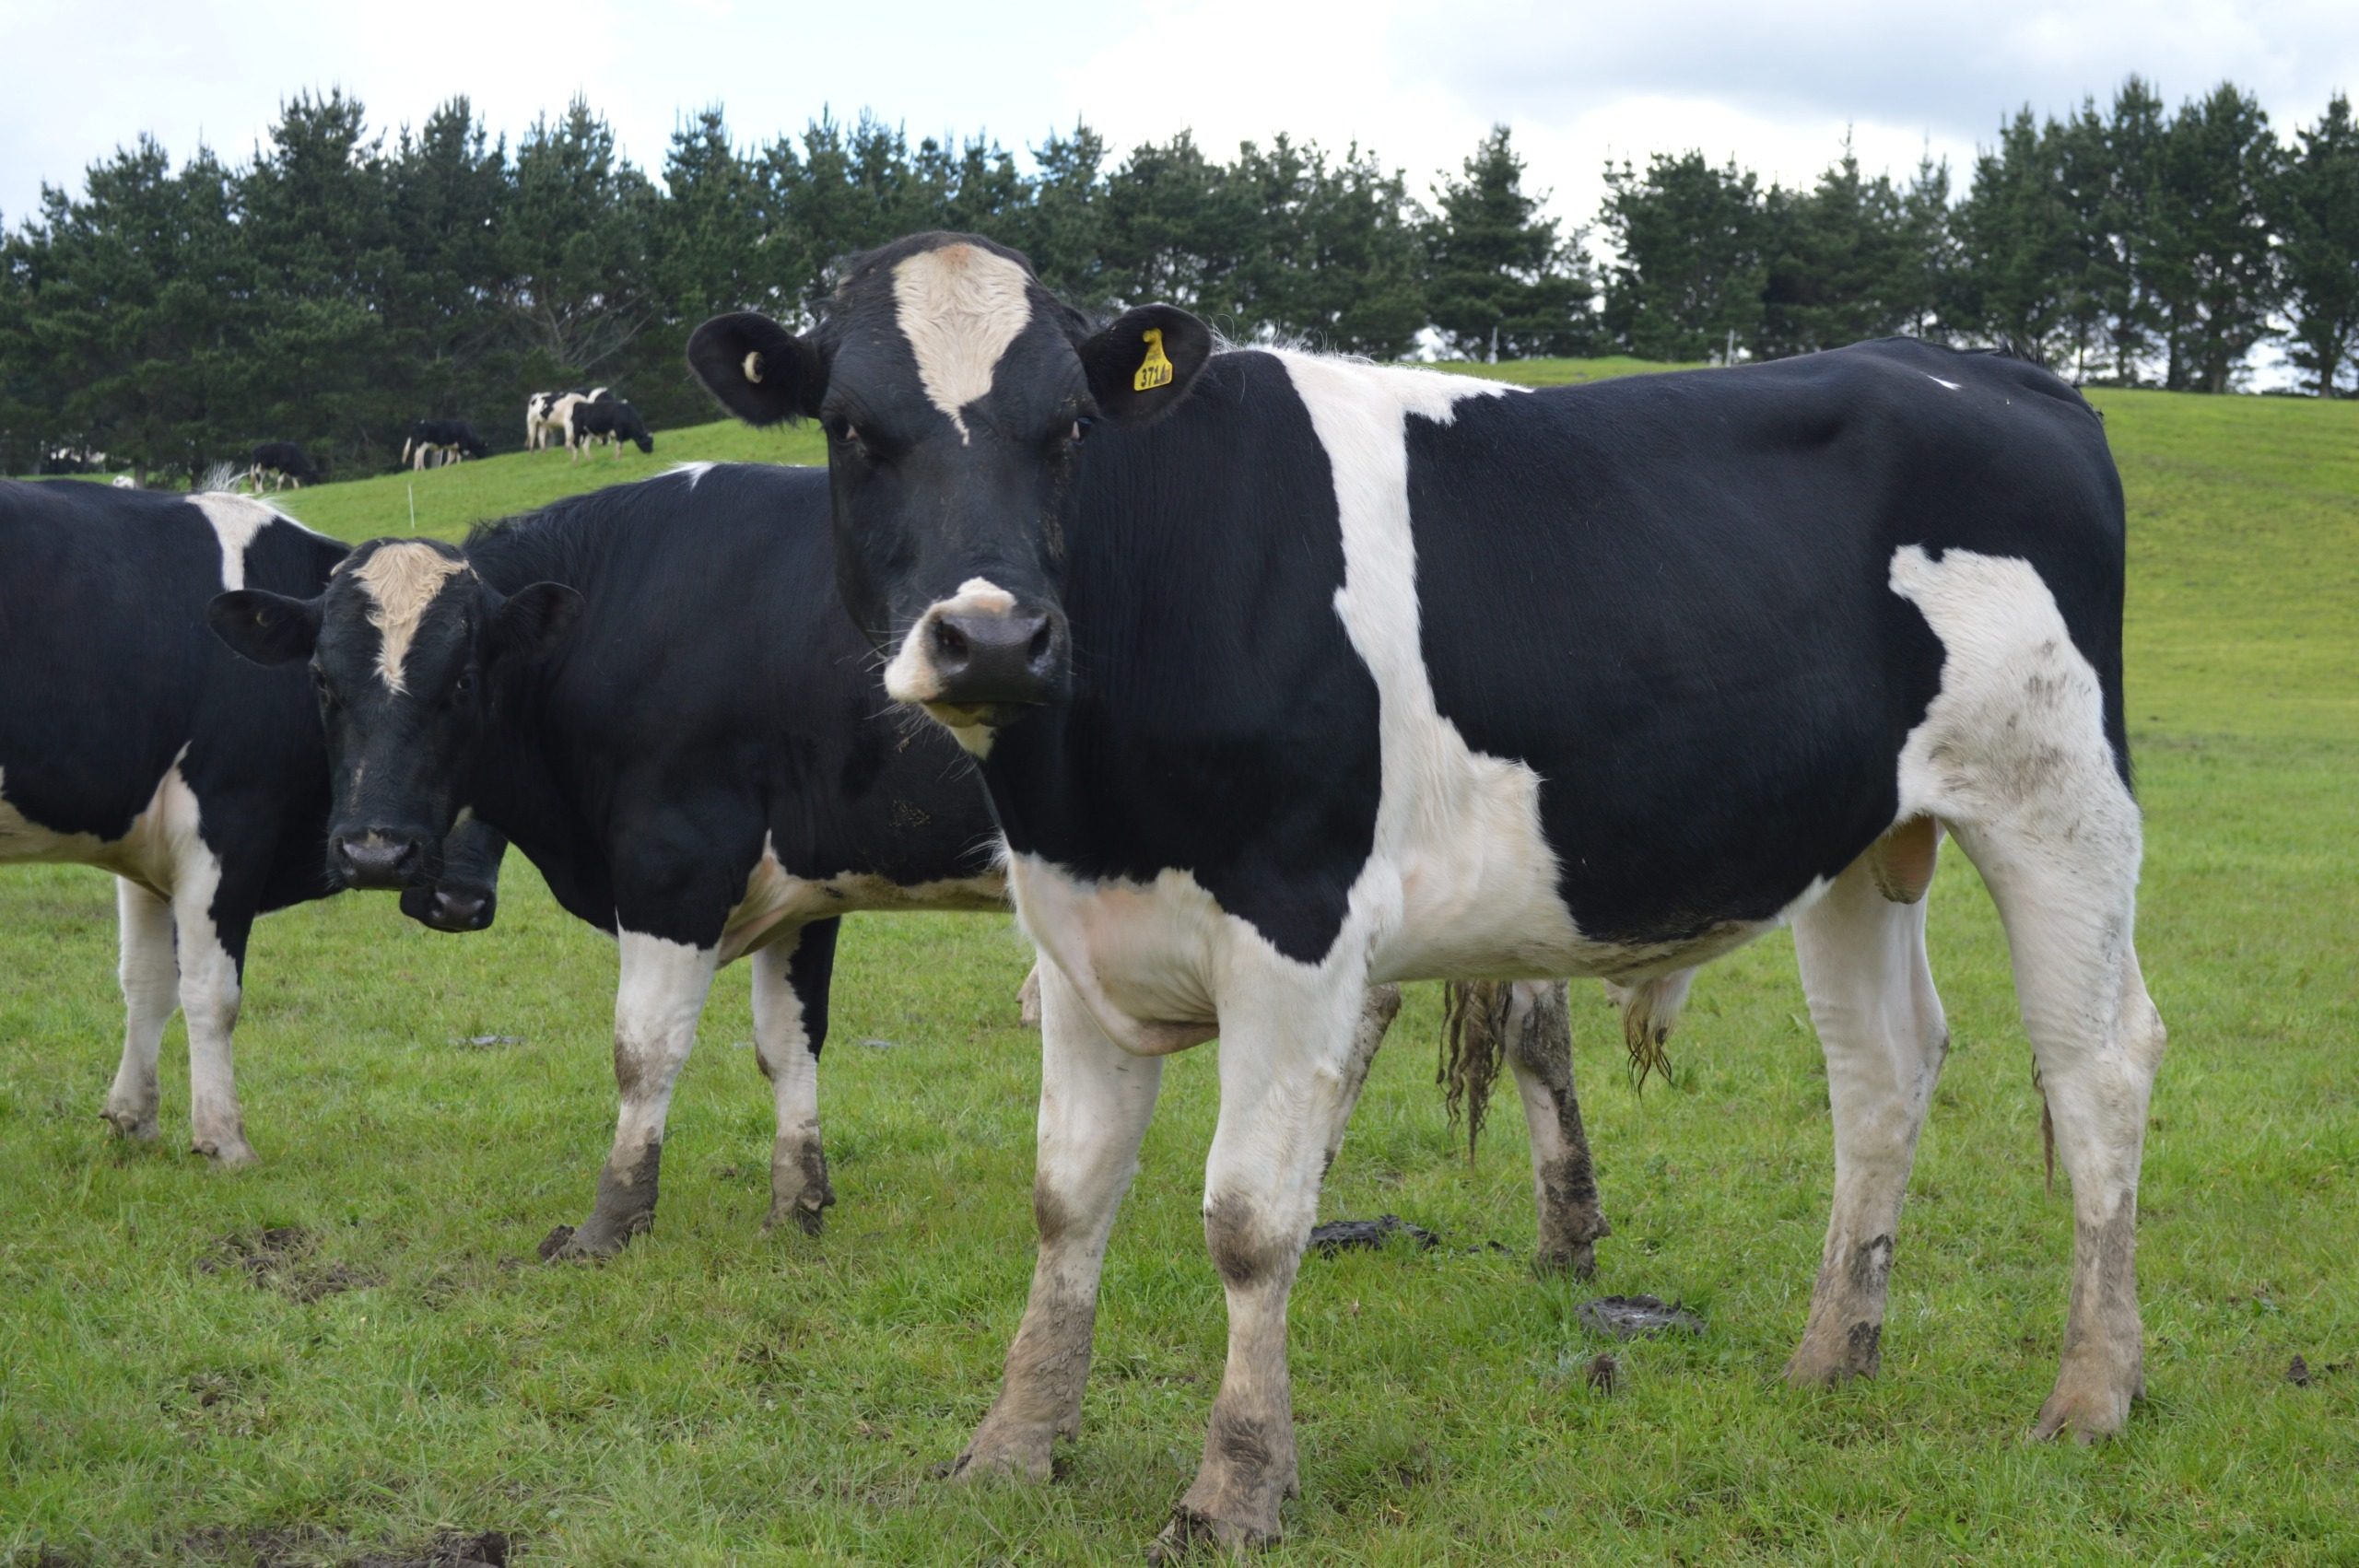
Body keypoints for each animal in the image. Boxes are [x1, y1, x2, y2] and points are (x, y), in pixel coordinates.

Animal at [0, 479, 507, 1167]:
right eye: (321, 679)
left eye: (465, 683)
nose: (454, 901)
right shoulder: (228, 824)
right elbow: (211, 992)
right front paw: (223, 1139)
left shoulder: (145, 844)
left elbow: (146, 981)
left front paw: (132, 1119)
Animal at [206, 463, 1611, 1266]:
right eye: (324, 682)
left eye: (460, 681)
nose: (376, 846)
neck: (628, 601)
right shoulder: (794, 886)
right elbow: (785, 1045)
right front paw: (798, 1203)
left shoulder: (675, 859)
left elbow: (642, 1052)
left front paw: (609, 1225)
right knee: (1533, 1026)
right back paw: (1566, 1231)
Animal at [688, 231, 2166, 1552]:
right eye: (849, 428)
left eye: (1068, 427)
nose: (993, 637)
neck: (1086, 795)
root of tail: (1983, 366)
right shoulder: (1075, 939)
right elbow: (1065, 1198)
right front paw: (1013, 1445)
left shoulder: (1295, 925)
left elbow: (1249, 1221)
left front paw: (1234, 1487)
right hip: (1862, 839)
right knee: (1883, 1067)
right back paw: (1831, 1356)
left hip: (2057, 799)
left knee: (2098, 1061)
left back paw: (2092, 1394)